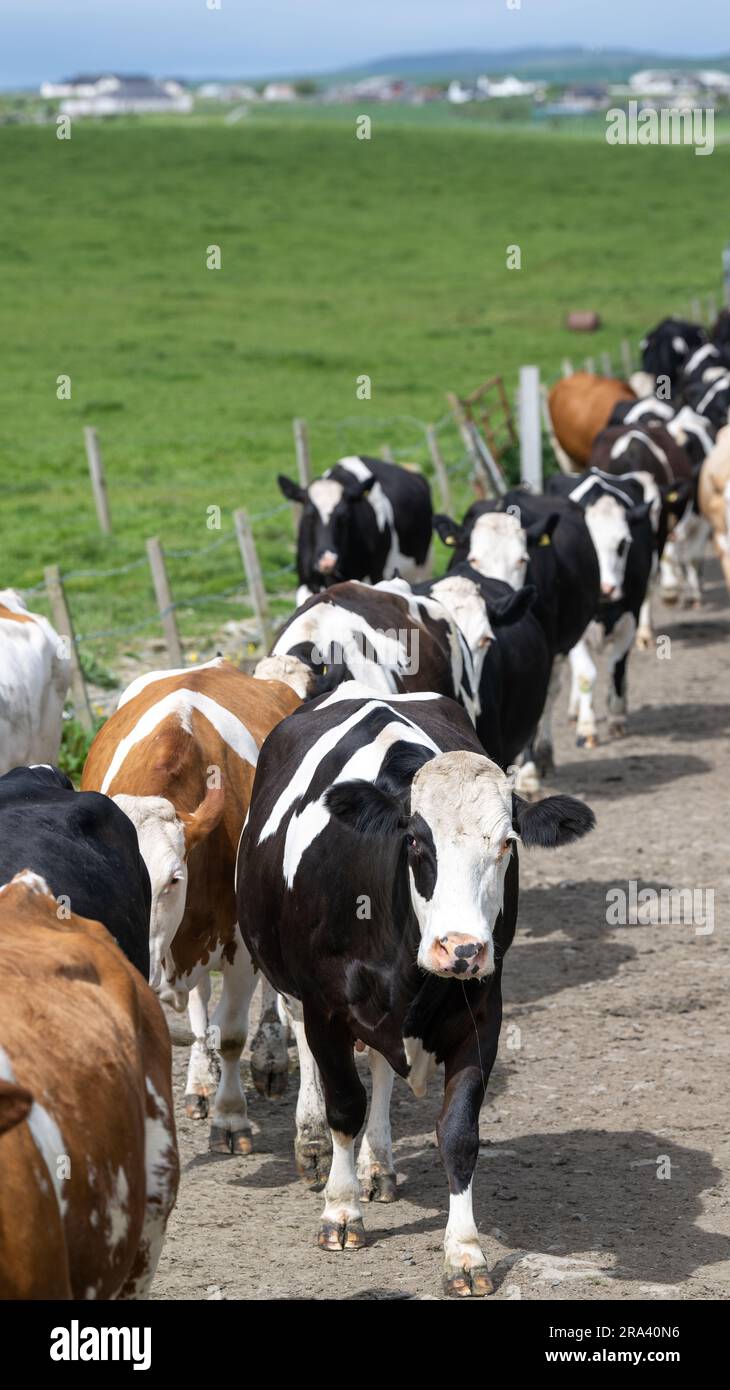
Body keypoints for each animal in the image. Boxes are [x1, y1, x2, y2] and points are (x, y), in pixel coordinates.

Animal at [81, 657, 301, 1152]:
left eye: (173, 879)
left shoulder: (240, 948)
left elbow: (233, 1034)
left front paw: (231, 1118)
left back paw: (270, 1062)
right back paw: (200, 1081)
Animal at [236, 683, 595, 1296]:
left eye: (507, 845)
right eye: (416, 843)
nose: (463, 949)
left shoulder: (483, 1015)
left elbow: (459, 1133)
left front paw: (465, 1252)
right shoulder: (326, 1008)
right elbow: (344, 1106)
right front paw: (340, 1211)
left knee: (383, 1066)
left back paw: (378, 1163)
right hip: (292, 985)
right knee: (308, 1052)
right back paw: (313, 1145)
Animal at [277, 456, 433, 604]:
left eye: (344, 516)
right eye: (309, 515)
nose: (327, 561)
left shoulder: (375, 577)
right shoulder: (306, 586)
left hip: (422, 567)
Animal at [546, 471, 654, 746]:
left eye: (623, 543)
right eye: (586, 546)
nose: (606, 588)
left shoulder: (630, 620)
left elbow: (617, 668)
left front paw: (616, 717)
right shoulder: (575, 631)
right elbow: (586, 675)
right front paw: (587, 728)